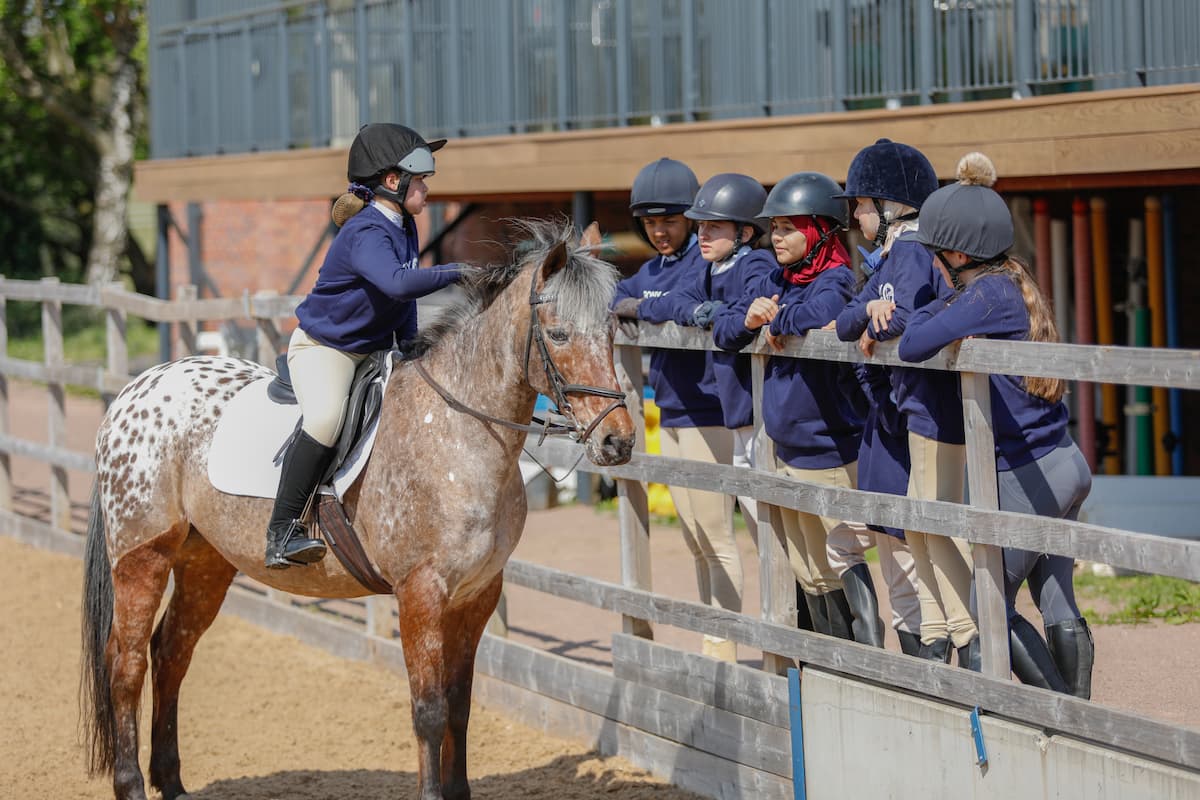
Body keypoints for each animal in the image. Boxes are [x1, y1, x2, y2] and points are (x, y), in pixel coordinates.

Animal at [80, 219, 636, 800]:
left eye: (611, 333)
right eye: (558, 335)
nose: (617, 443)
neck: (460, 432)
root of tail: (135, 388)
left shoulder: (477, 595)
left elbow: (460, 705)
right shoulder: (421, 594)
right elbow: (430, 711)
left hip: (205, 562)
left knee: (172, 652)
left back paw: (173, 782)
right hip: (141, 557)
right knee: (126, 664)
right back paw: (131, 784)